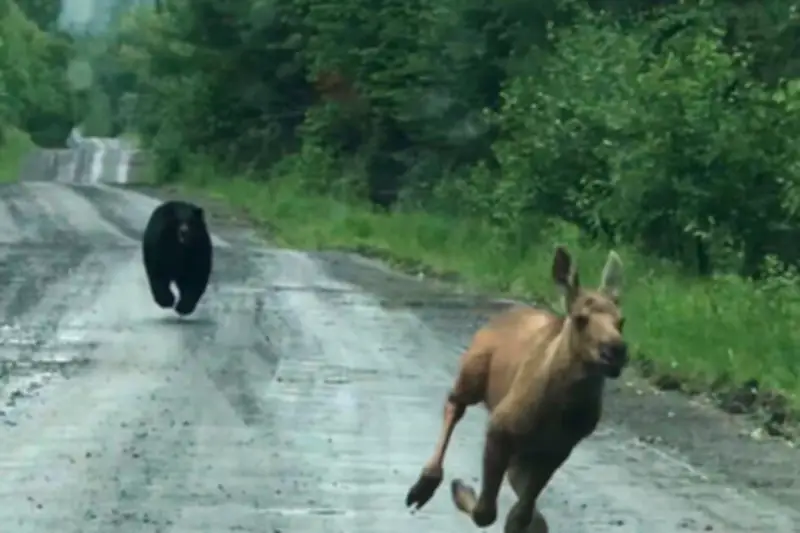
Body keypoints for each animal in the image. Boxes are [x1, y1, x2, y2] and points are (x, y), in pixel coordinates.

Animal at [405, 245, 628, 533]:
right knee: (455, 403)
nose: (616, 350)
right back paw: (426, 484)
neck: (563, 409)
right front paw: (461, 489)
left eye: (622, 321)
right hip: (472, 373)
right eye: (580, 318)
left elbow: (522, 514)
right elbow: (486, 512)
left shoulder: (558, 449)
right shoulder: (500, 427)